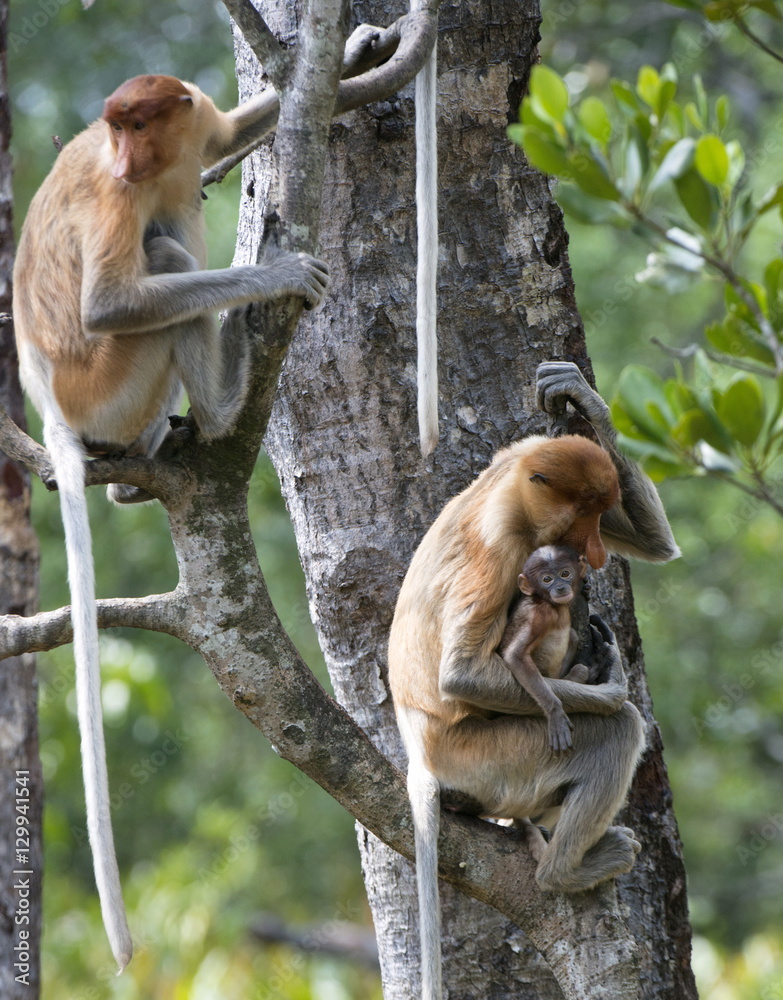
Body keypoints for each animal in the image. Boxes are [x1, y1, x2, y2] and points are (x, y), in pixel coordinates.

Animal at [12, 74, 330, 972]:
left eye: (139, 123)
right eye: (116, 135)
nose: (125, 158)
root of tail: (53, 412)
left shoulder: (196, 129)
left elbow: (231, 128)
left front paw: (373, 58)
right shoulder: (115, 198)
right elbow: (111, 302)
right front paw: (275, 271)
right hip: (111, 384)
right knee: (162, 259)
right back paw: (216, 408)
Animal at [497, 545, 589, 753]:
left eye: (565, 574)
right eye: (547, 579)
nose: (560, 587)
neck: (550, 604)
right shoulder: (538, 615)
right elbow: (515, 656)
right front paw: (555, 713)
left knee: (573, 637)